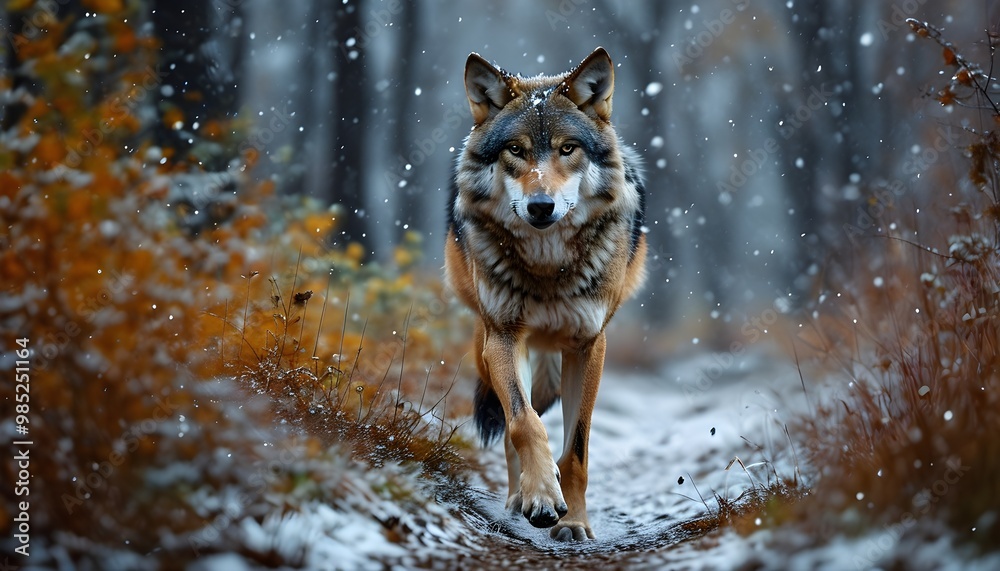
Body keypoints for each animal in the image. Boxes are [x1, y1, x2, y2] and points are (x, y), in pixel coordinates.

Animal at [445, 47, 647, 541]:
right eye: (515, 150)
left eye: (567, 149)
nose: (541, 206)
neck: (548, 270)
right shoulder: (503, 336)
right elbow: (522, 424)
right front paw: (540, 497)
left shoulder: (588, 346)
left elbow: (577, 448)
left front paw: (573, 522)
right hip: (487, 344)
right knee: (514, 422)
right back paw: (519, 500)